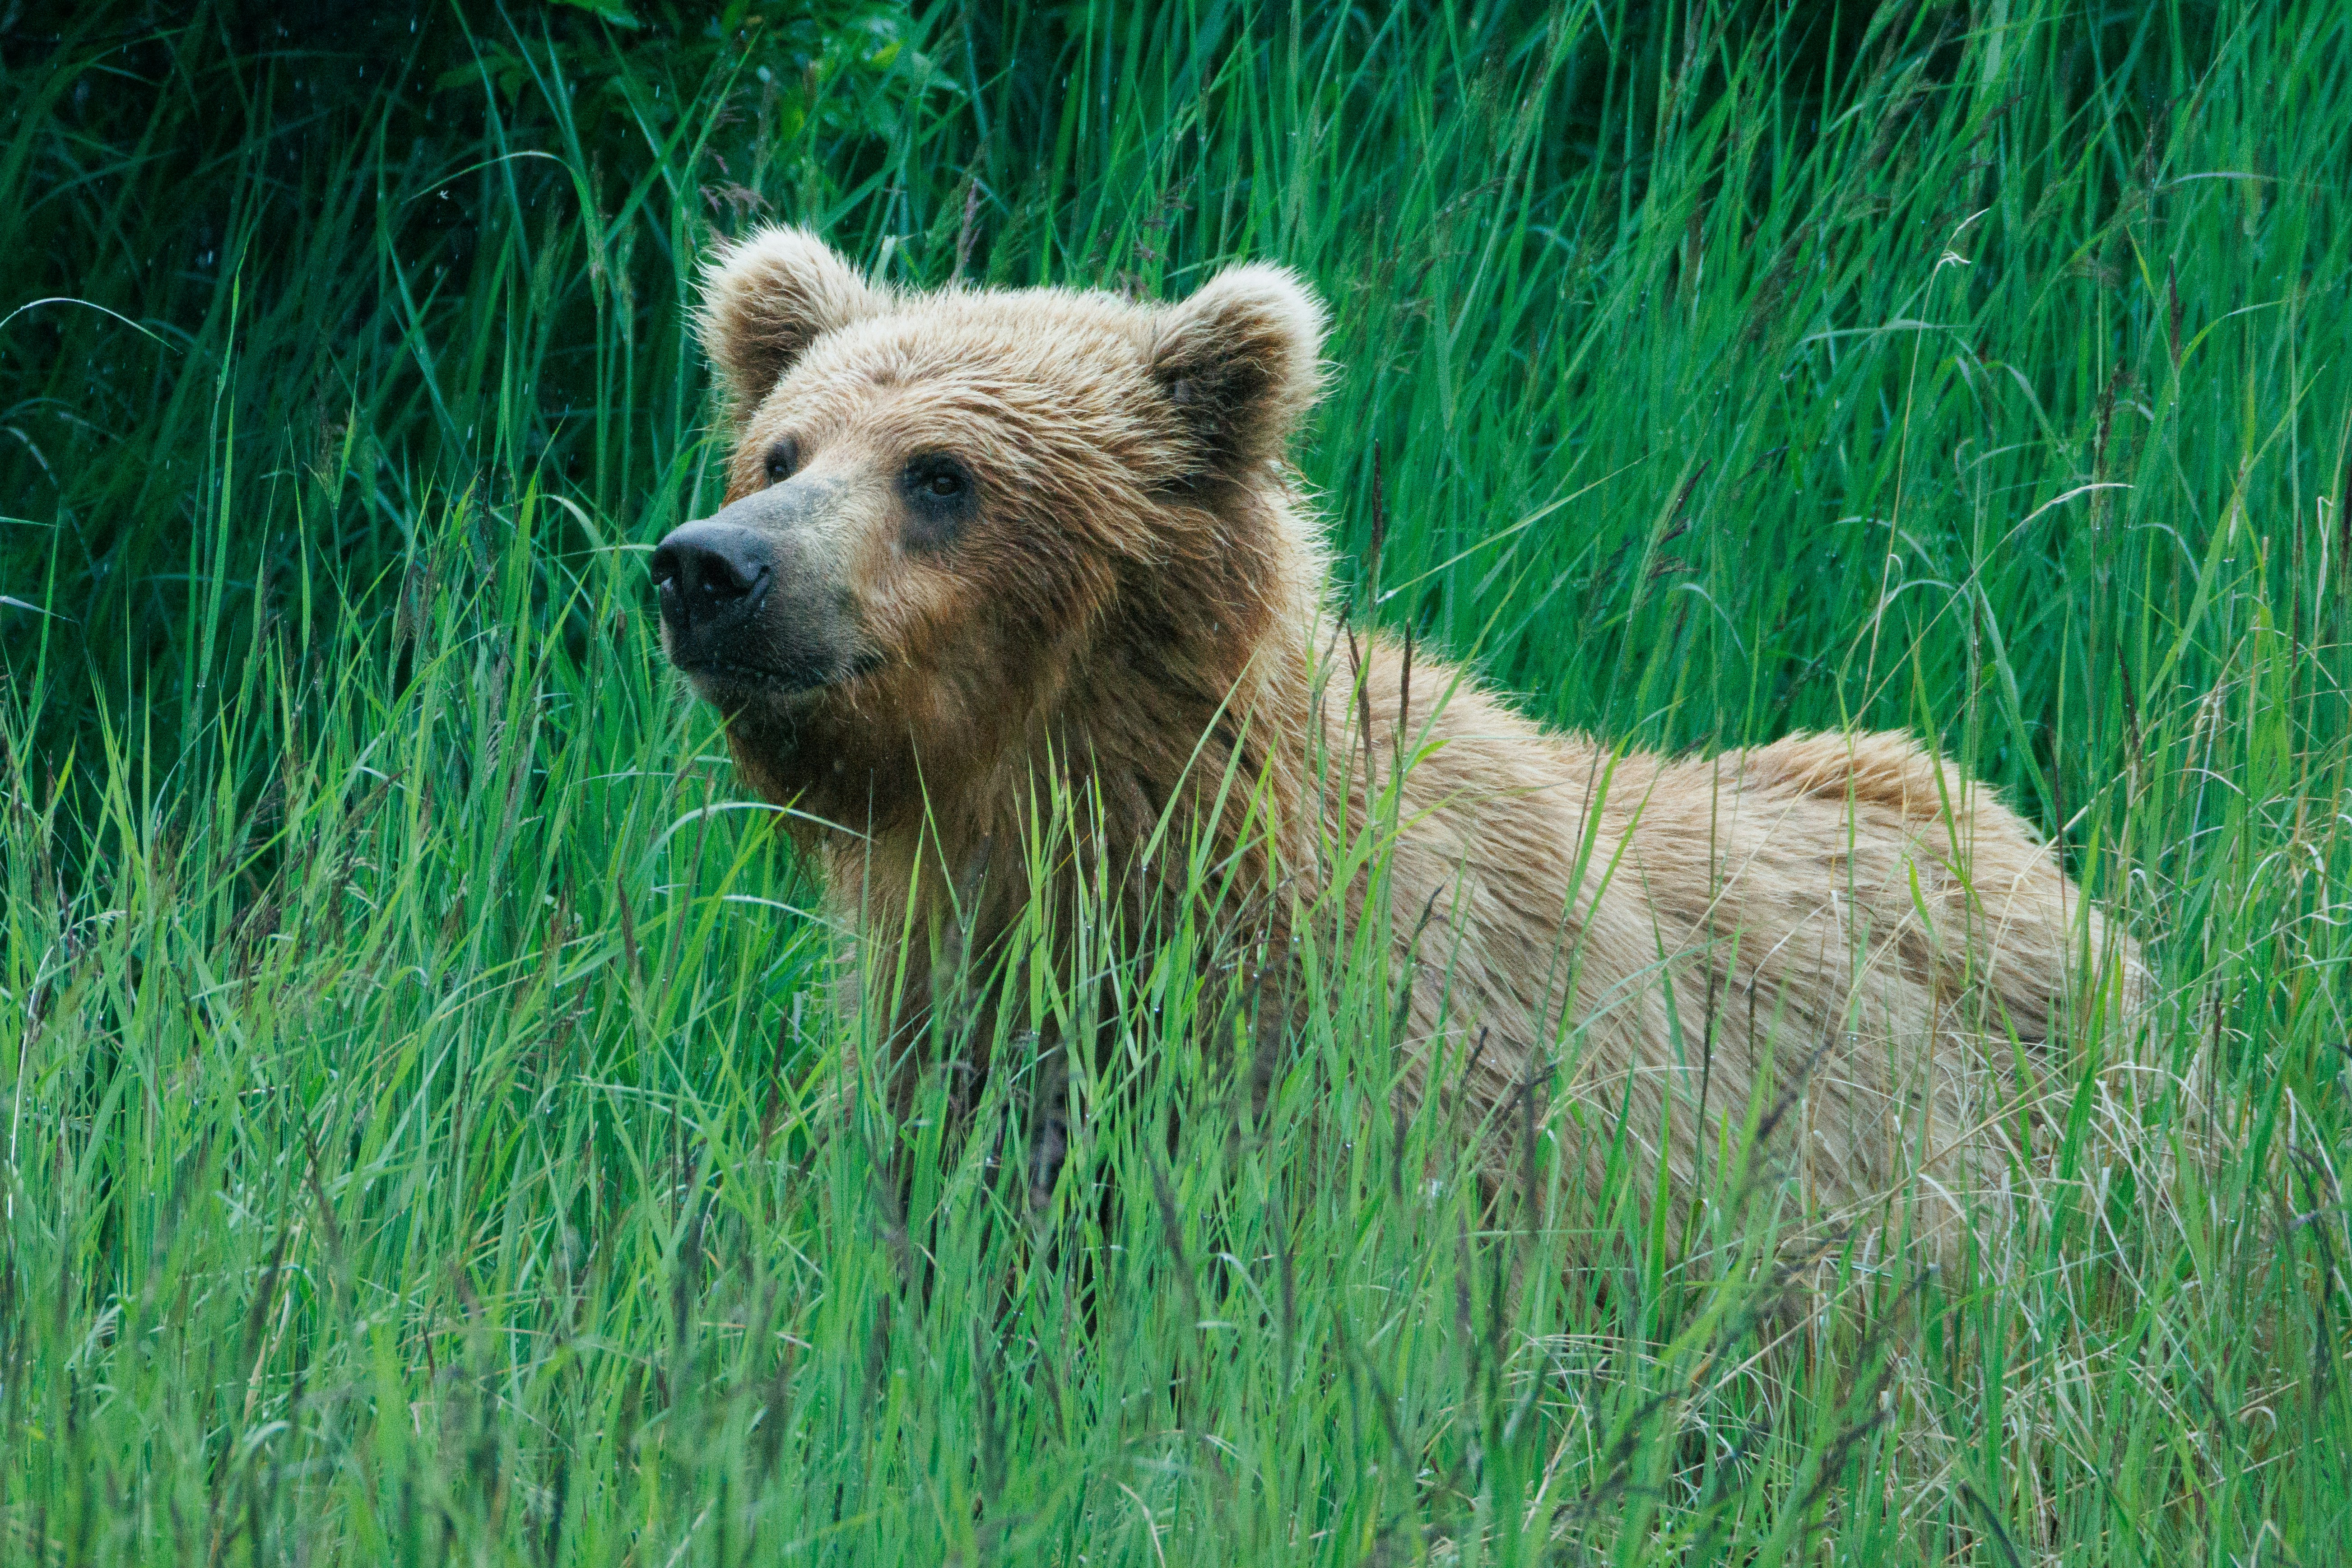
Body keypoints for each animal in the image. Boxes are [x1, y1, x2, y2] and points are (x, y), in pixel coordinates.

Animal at [651, 225, 2150, 1267]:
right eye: (782, 449)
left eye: (940, 475)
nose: (711, 566)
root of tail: (2023, 840)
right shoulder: (970, 1054)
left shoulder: (1400, 1075)